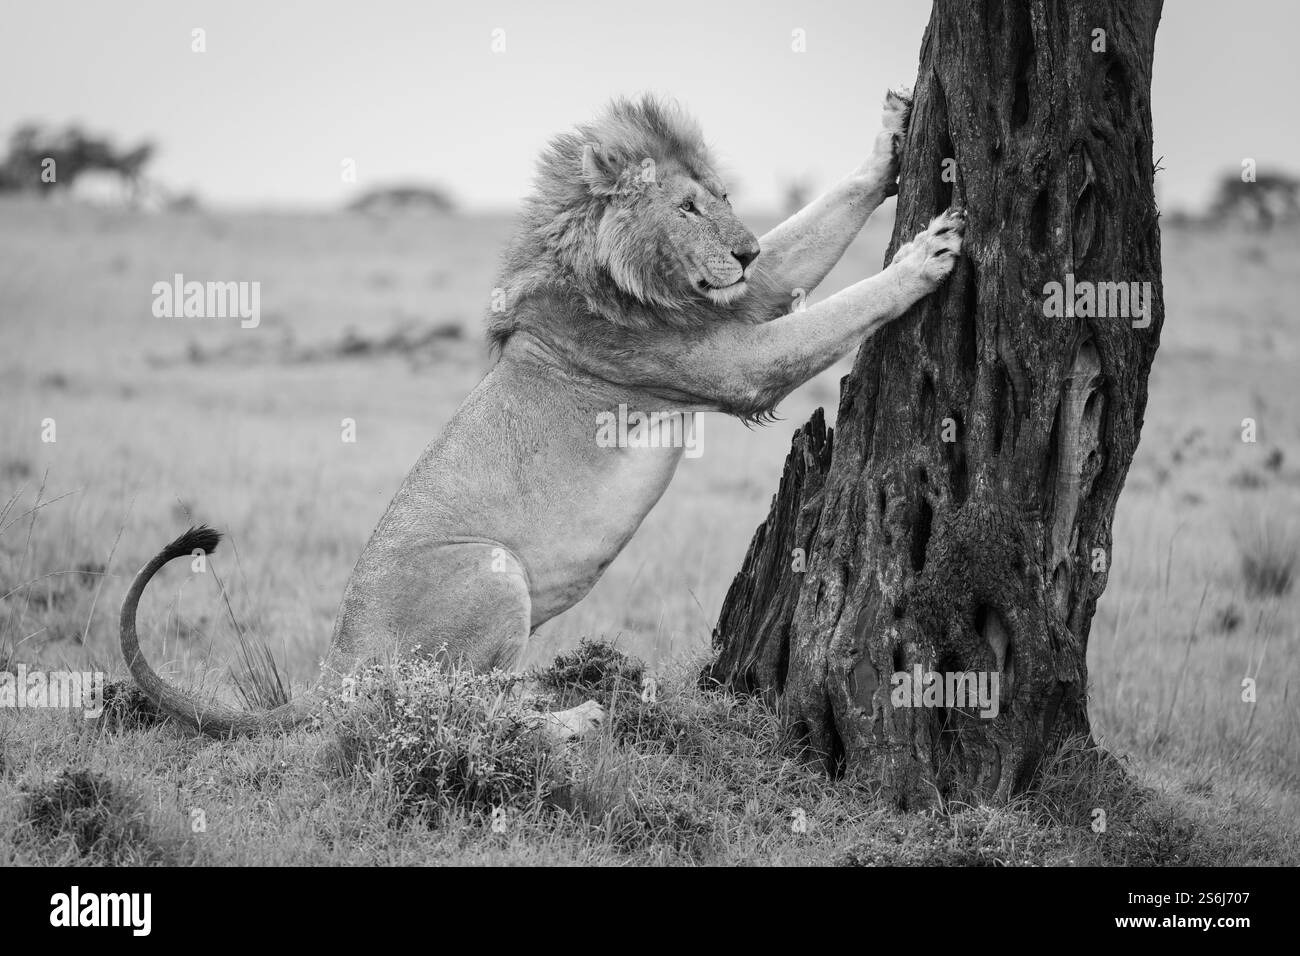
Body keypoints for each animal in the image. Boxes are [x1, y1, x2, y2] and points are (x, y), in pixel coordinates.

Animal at [120, 88, 964, 738]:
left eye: (724, 198)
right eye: (687, 207)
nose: (745, 251)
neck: (623, 275)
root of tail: (336, 670)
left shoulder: (739, 302)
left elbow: (817, 226)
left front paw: (889, 143)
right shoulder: (731, 364)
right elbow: (839, 312)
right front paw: (924, 256)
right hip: (488, 571)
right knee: (458, 713)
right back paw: (576, 719)